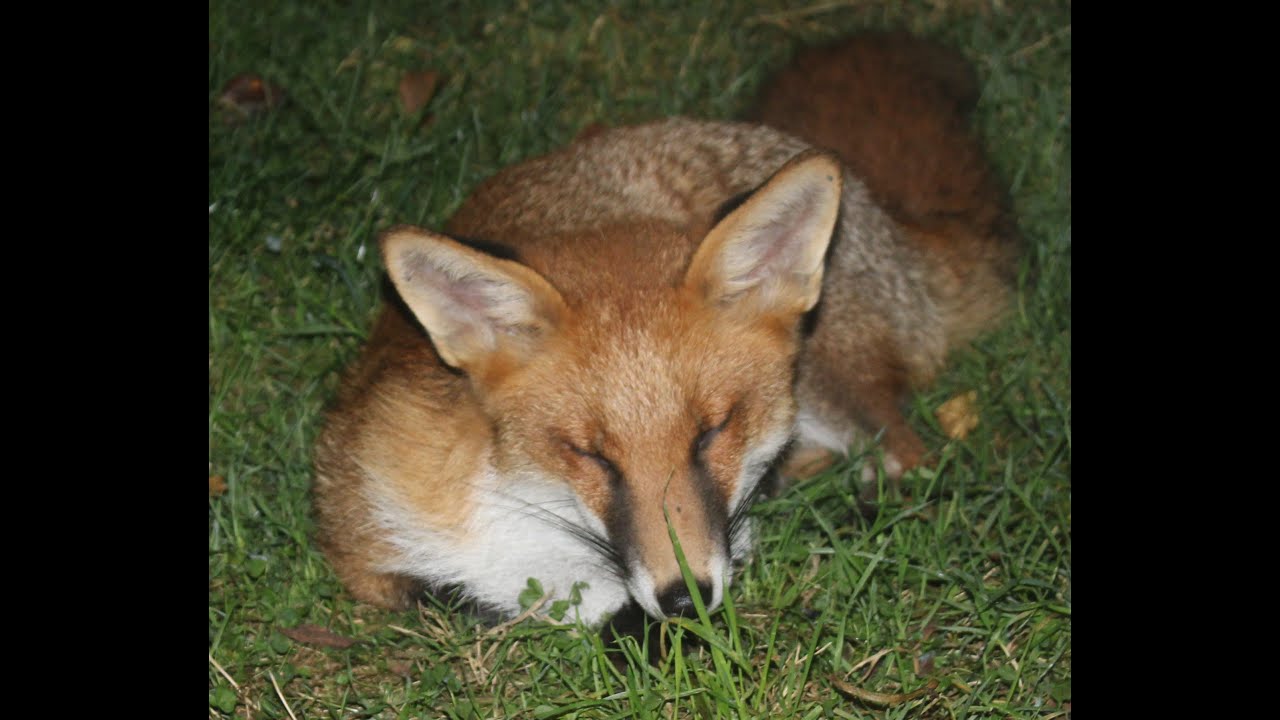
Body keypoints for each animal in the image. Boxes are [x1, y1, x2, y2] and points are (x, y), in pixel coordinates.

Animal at [311, 32, 1020, 627]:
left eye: (712, 434)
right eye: (592, 456)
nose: (686, 599)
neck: (520, 524)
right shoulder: (362, 534)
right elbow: (433, 594)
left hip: (830, 379)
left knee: (906, 457)